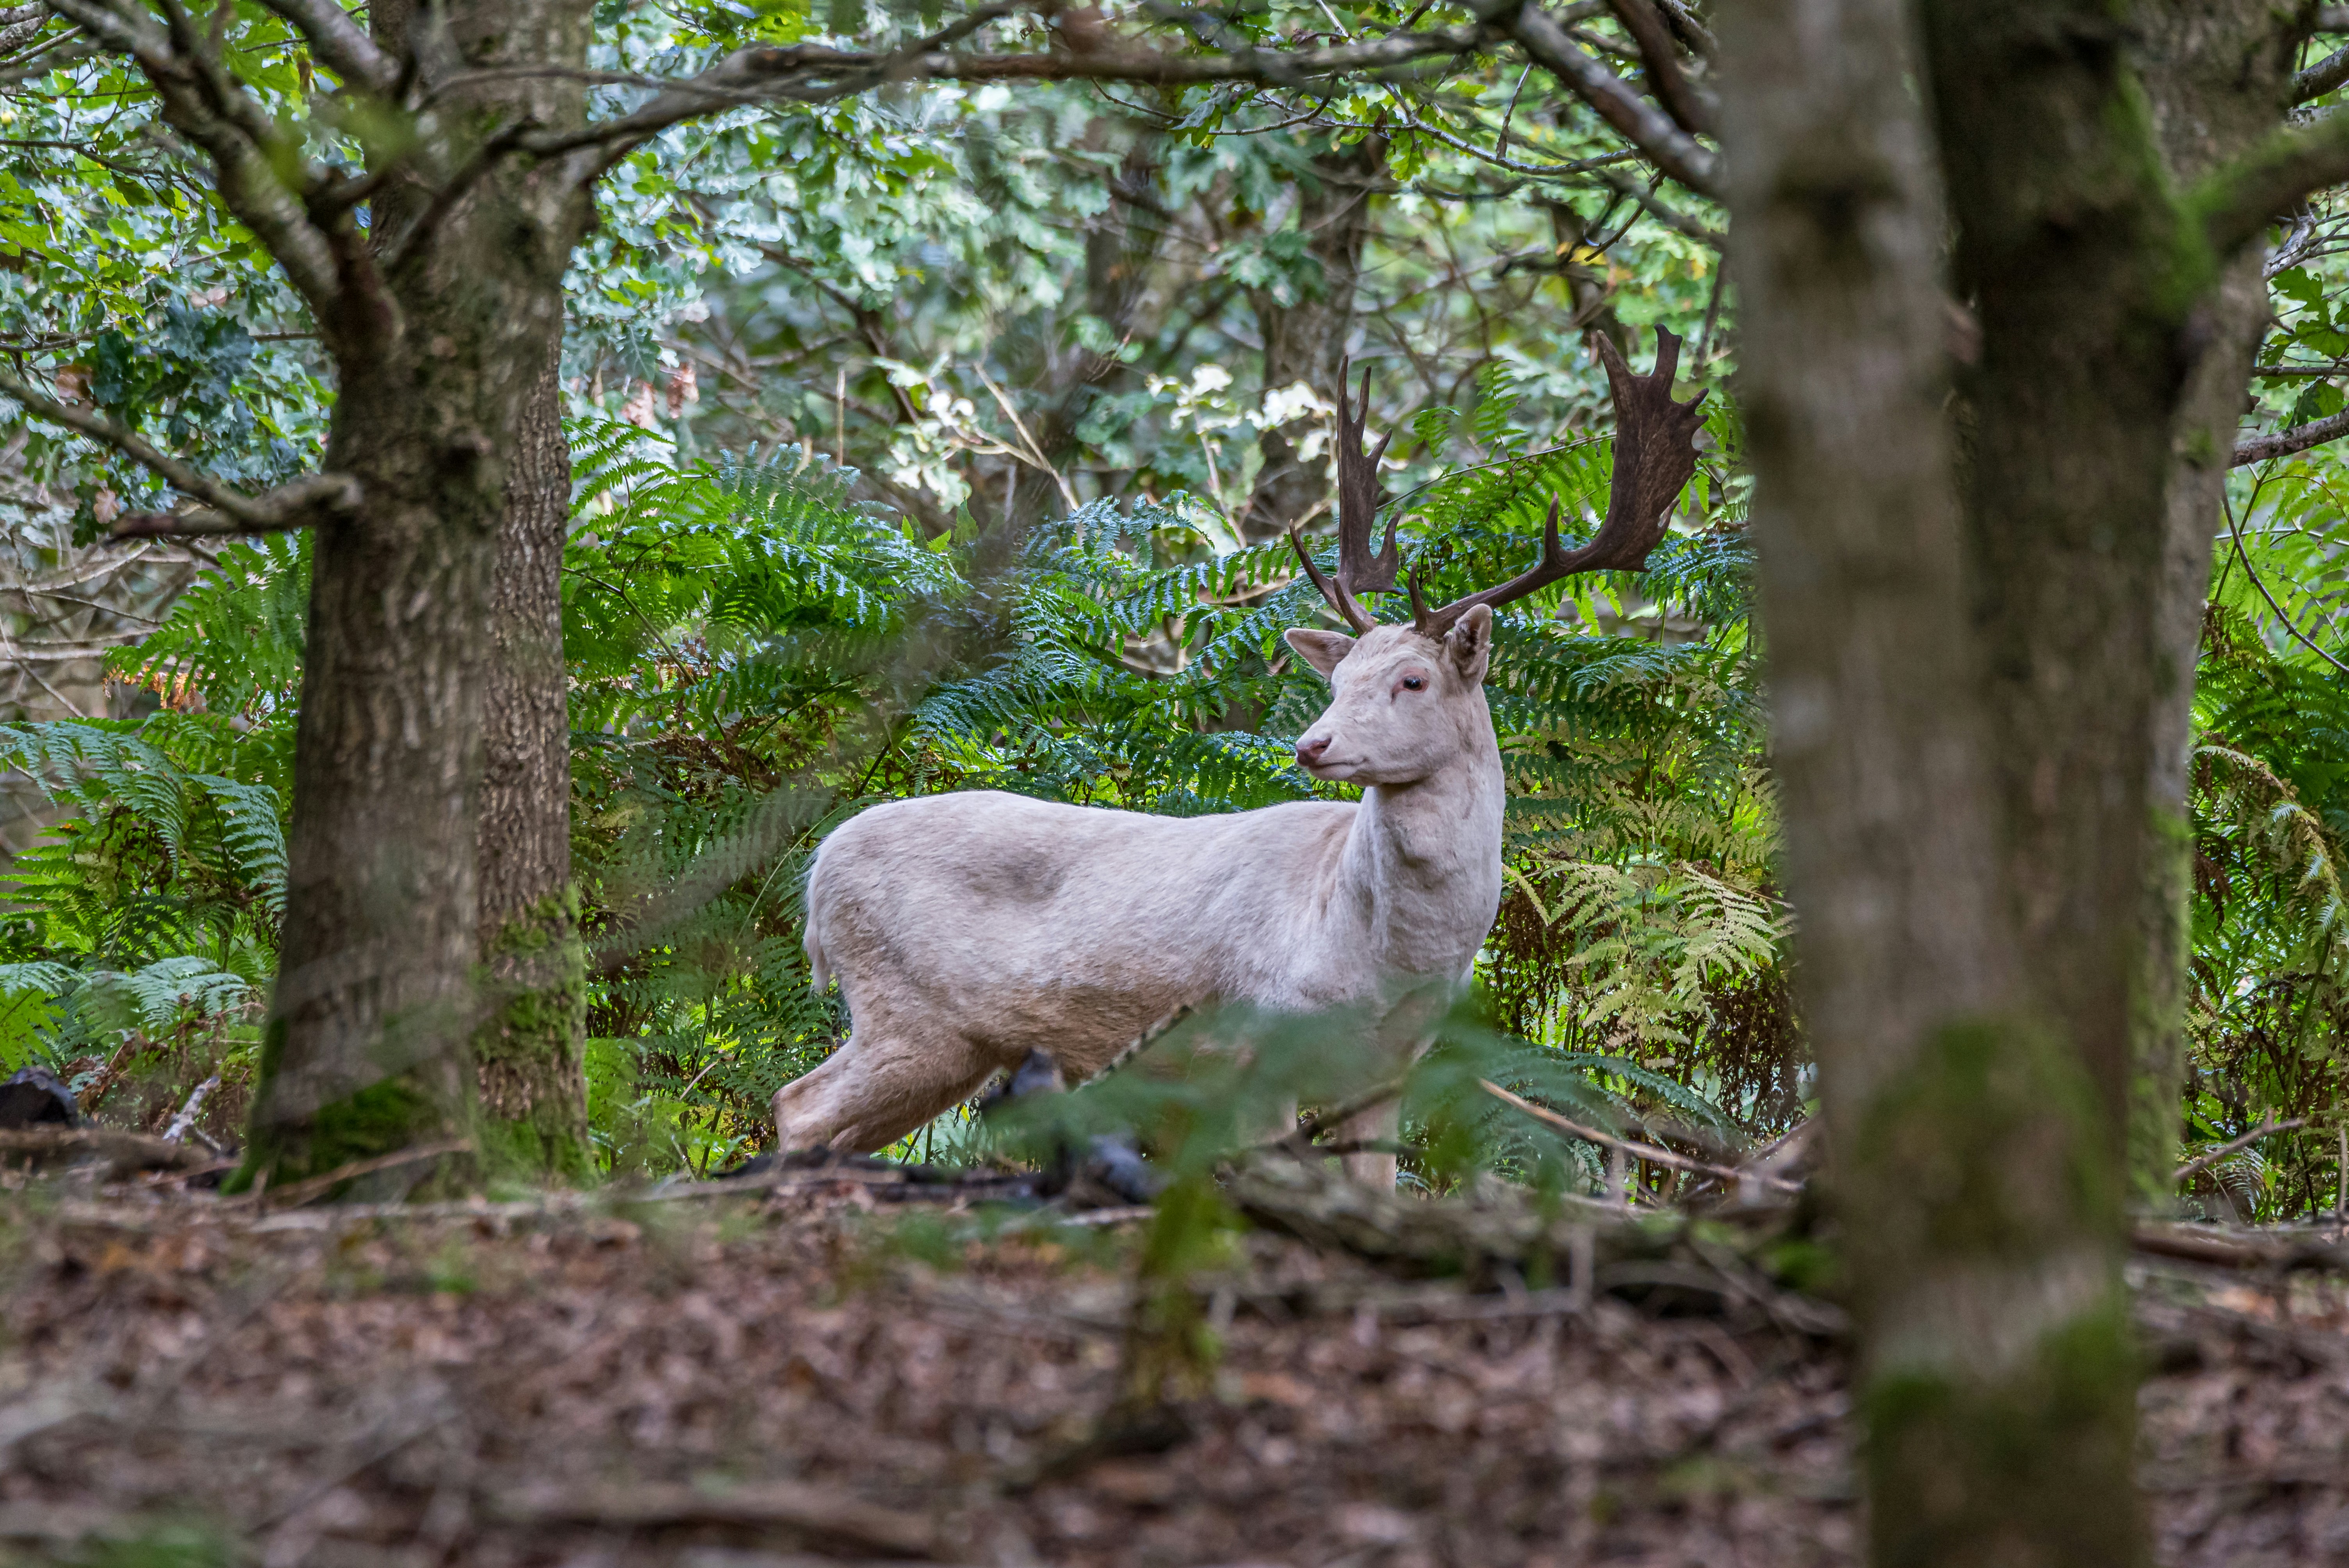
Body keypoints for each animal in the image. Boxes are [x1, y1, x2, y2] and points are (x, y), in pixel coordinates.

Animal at [772, 329, 1707, 1187]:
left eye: (1410, 679)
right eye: (1339, 680)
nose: (1312, 744)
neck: (1369, 954)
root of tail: (816, 876)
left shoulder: (1387, 1071)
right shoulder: (1252, 1047)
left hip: (951, 1042)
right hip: (907, 1011)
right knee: (799, 1103)